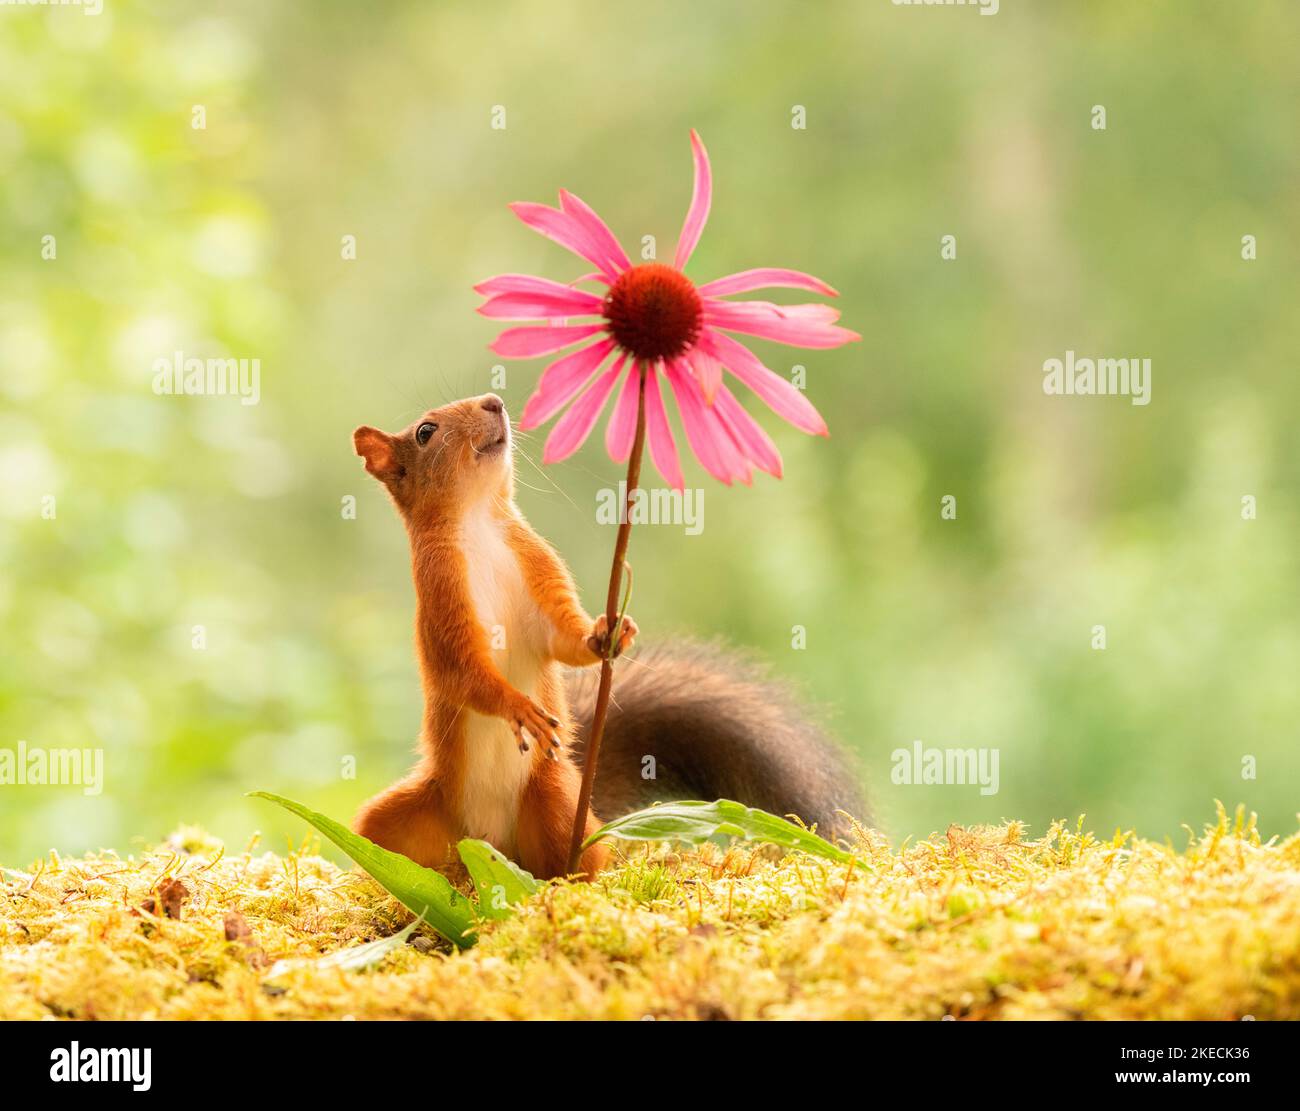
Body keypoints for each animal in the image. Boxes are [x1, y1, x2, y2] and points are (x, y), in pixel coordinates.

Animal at [351, 392, 865, 880]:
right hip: (404, 818)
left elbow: (561, 637)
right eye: (425, 432)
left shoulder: (539, 571)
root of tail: (491, 845)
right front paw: (517, 706)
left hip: (554, 799)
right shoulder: (442, 605)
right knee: (378, 843)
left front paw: (607, 635)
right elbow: (463, 671)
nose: (493, 401)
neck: (479, 526)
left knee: (575, 861)